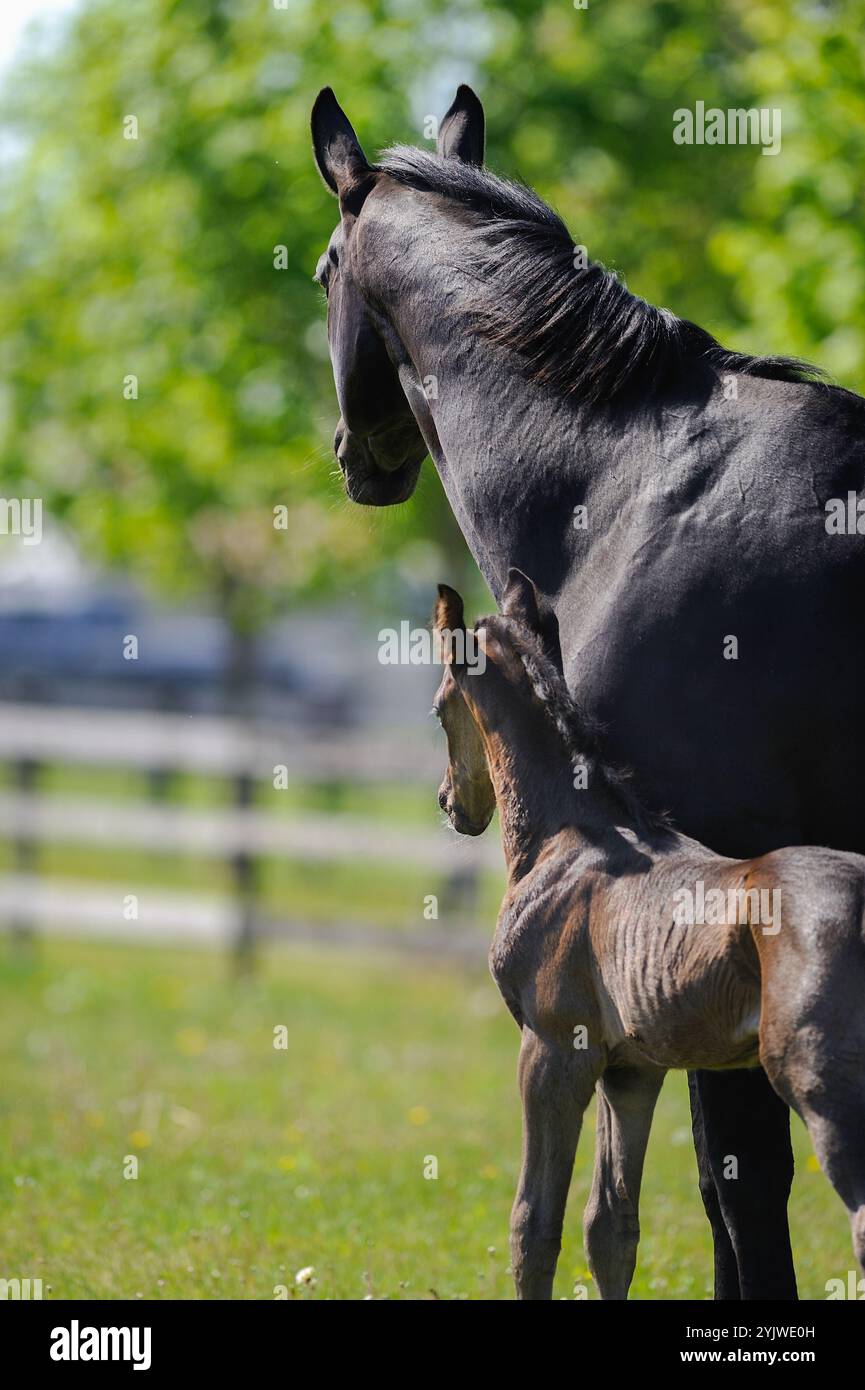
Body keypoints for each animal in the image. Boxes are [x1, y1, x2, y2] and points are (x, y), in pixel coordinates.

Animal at [432, 568, 865, 1300]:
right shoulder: (632, 1068)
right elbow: (610, 1228)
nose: (450, 804)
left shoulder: (553, 1050)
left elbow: (532, 1227)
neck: (571, 837)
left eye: (440, 709)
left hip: (823, 1082)